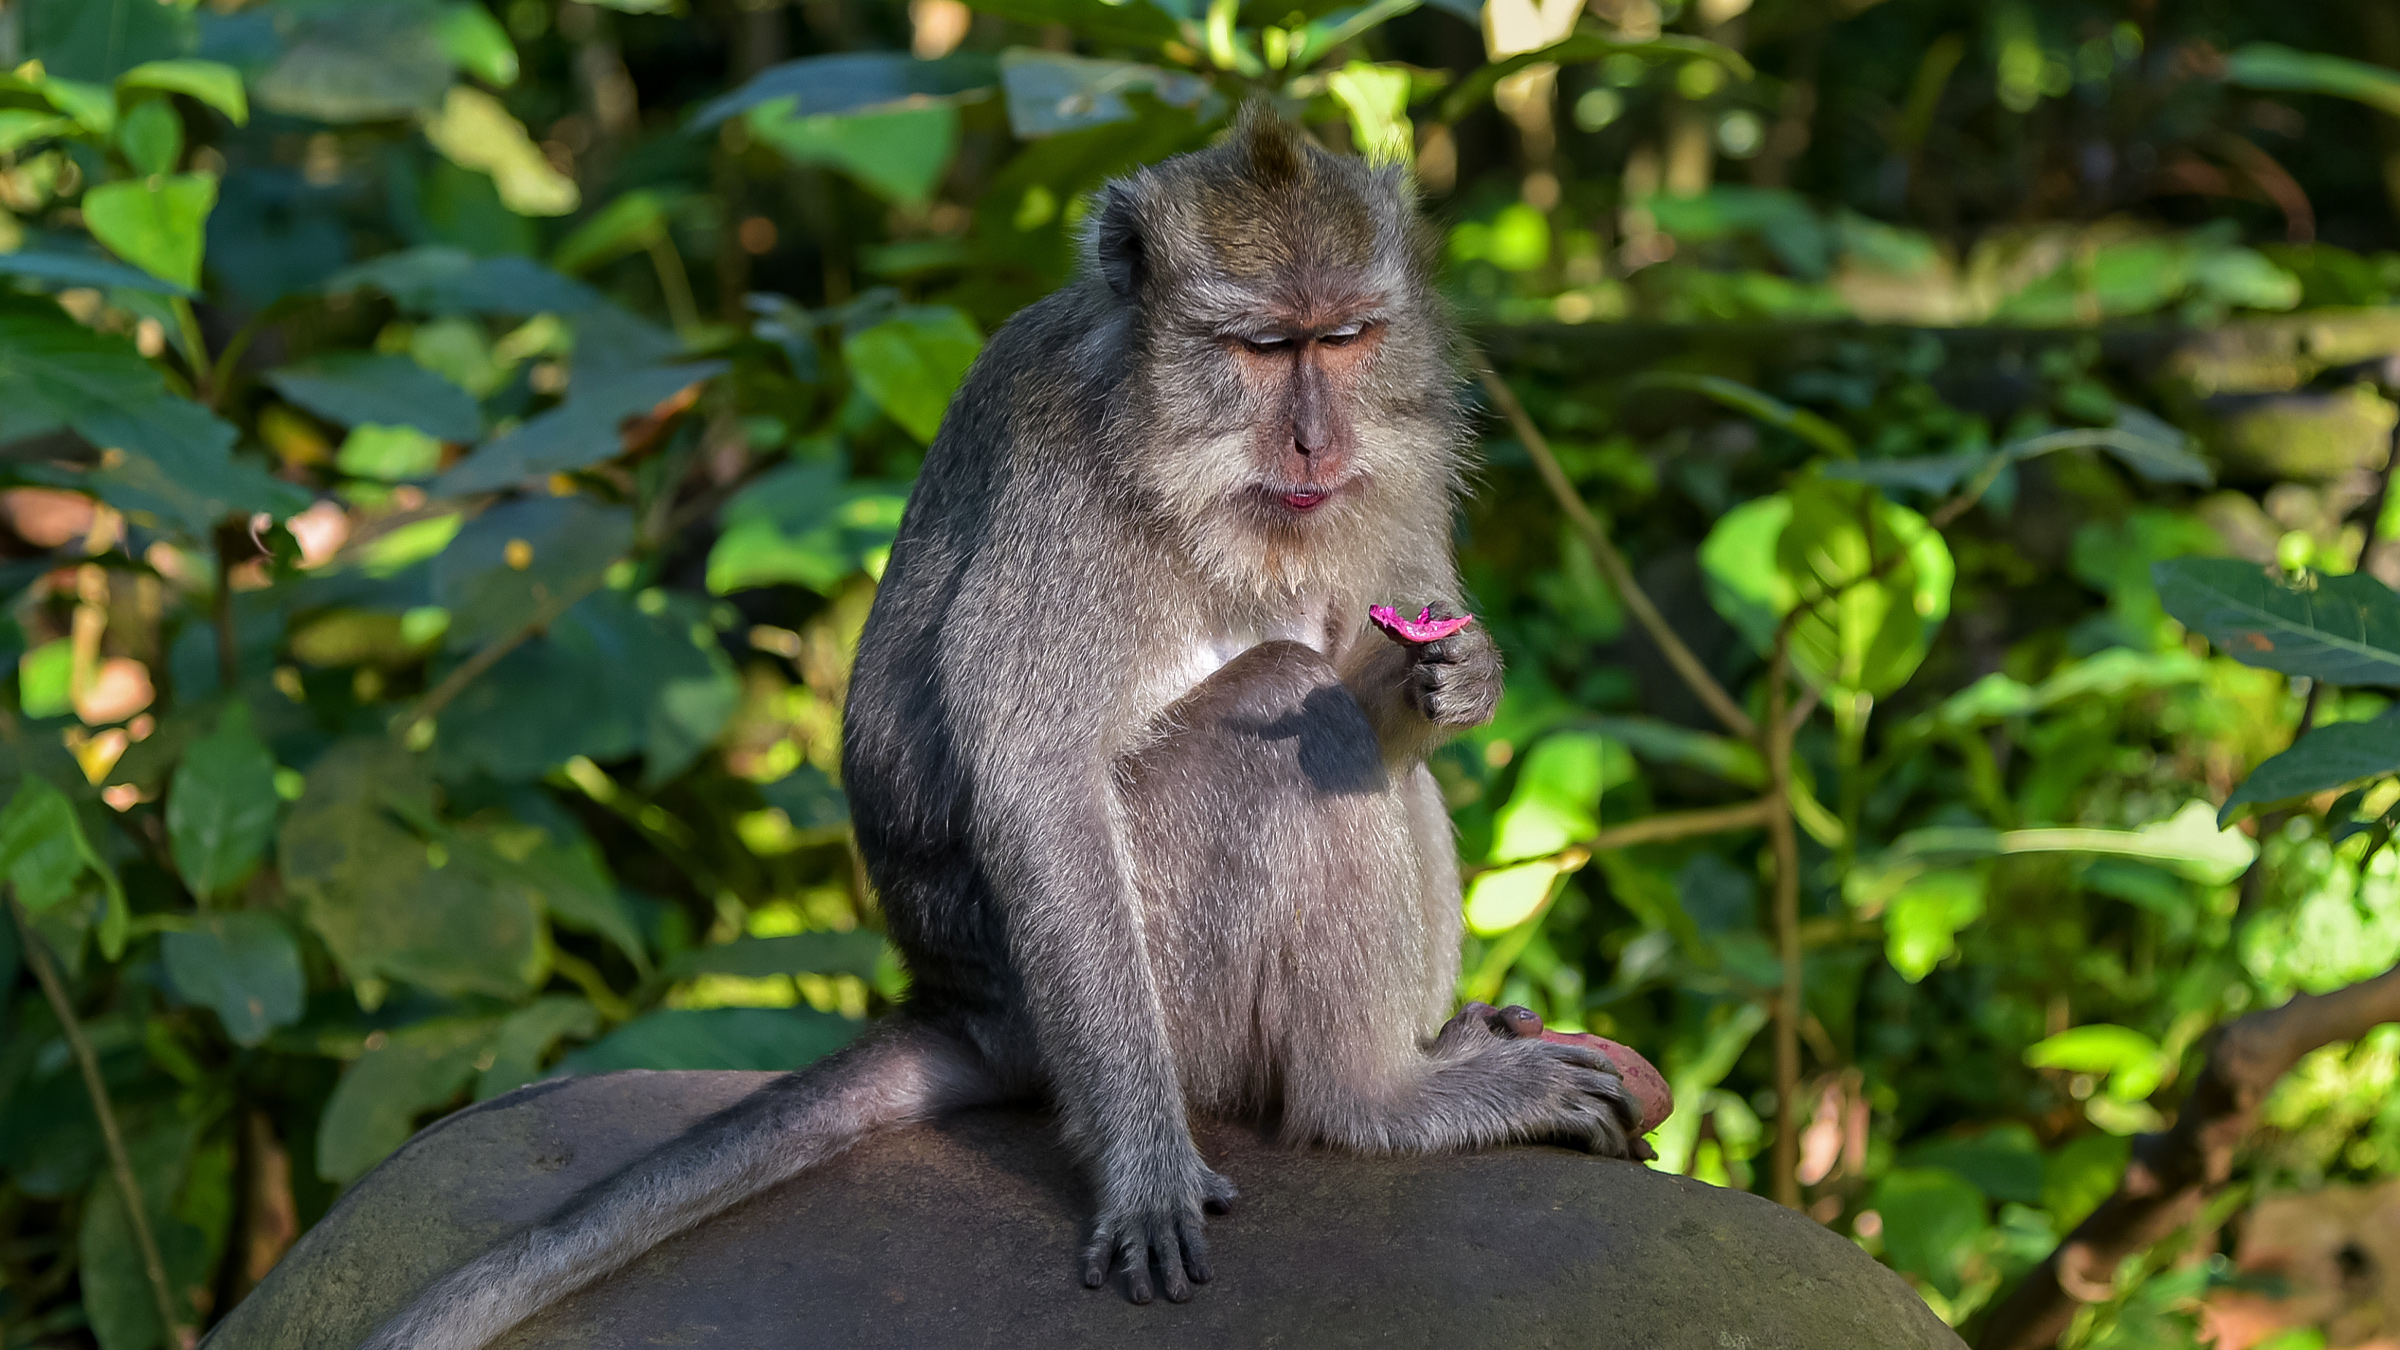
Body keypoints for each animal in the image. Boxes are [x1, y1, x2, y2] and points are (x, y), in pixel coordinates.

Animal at [352, 106, 1639, 1350]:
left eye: (1351, 337)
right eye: (1265, 349)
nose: (1321, 442)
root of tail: (966, 1006)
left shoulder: (1393, 481)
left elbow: (1383, 673)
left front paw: (1462, 676)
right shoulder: (1065, 502)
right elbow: (1041, 783)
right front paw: (1145, 1172)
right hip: (1169, 998)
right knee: (1282, 708)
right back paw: (1373, 1102)